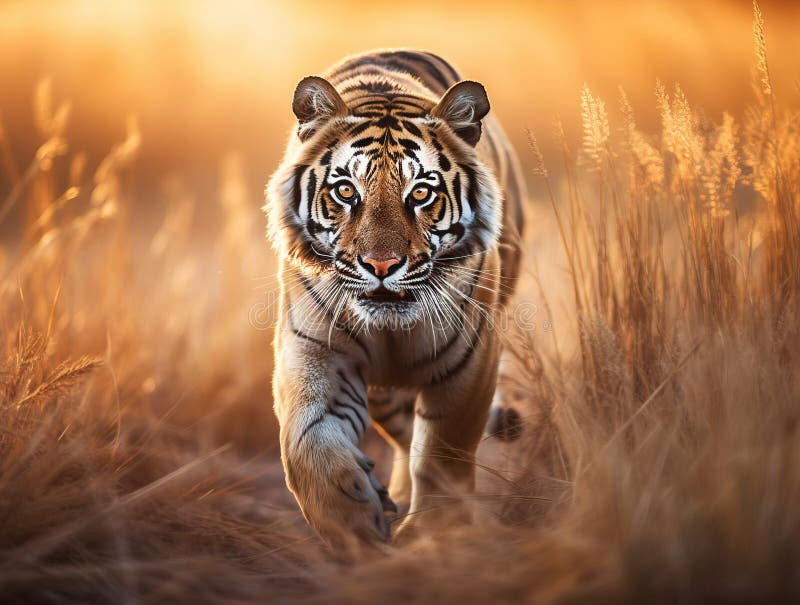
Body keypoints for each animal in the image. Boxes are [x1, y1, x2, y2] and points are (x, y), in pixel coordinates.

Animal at [264, 49, 526, 544]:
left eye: (421, 192)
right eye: (345, 191)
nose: (381, 266)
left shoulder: (471, 358)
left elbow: (442, 452)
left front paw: (432, 537)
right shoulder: (314, 349)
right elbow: (308, 439)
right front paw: (350, 521)